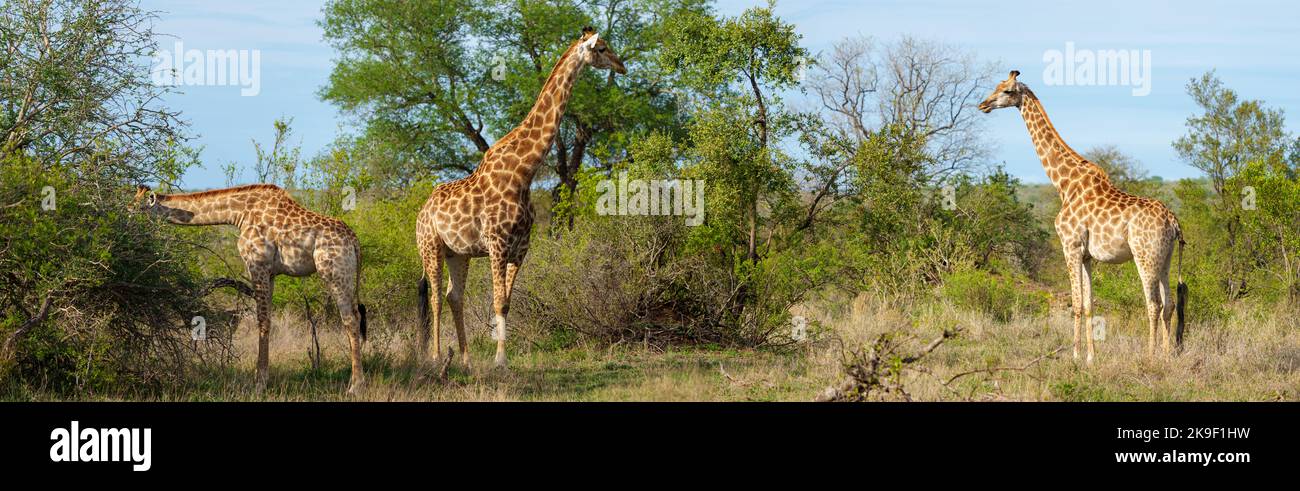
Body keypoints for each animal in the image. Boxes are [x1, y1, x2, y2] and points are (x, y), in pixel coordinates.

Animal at [132, 184, 368, 393]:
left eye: (137, 208)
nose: (127, 219)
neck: (239, 213)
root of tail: (354, 241)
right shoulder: (270, 273)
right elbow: (267, 319)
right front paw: (263, 380)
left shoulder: (257, 264)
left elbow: (262, 321)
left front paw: (259, 384)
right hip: (345, 275)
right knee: (356, 315)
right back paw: (354, 380)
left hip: (334, 272)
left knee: (350, 319)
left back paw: (355, 387)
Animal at [415, 27, 626, 369]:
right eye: (603, 48)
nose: (622, 67)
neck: (523, 171)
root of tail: (422, 211)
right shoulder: (498, 243)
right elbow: (498, 302)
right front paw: (500, 360)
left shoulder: (521, 247)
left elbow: (506, 303)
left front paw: (501, 357)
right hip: (430, 246)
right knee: (434, 296)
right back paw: (434, 357)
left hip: (457, 253)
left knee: (453, 296)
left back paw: (465, 359)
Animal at [978, 70, 1186, 364]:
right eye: (996, 86)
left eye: (1007, 91)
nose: (983, 104)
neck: (1064, 183)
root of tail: (1174, 222)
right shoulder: (1087, 255)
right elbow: (1089, 304)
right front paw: (1090, 356)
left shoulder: (1071, 245)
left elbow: (1075, 303)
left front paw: (1075, 355)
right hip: (1165, 258)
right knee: (1169, 303)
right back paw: (1167, 356)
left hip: (1144, 255)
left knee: (1154, 303)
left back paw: (1150, 355)